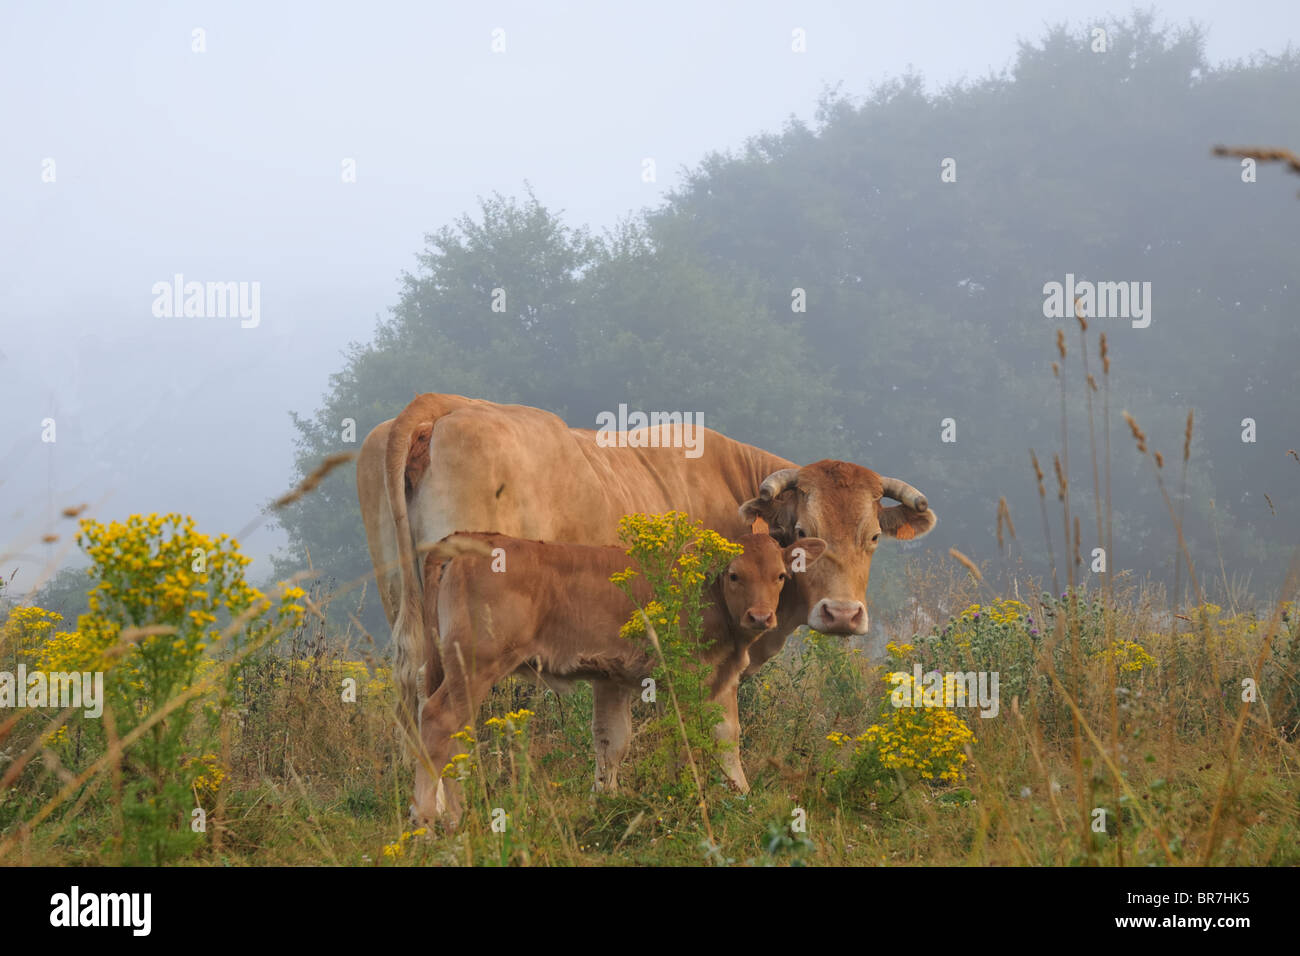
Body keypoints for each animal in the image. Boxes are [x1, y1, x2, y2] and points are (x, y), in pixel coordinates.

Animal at [411, 530, 827, 825]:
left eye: (780, 575)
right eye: (735, 574)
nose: (760, 617)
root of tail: (464, 539)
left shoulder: (617, 679)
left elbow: (625, 740)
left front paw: (742, 795)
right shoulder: (684, 677)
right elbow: (681, 738)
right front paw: (685, 795)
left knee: (455, 731)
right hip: (476, 665)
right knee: (438, 721)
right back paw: (434, 819)